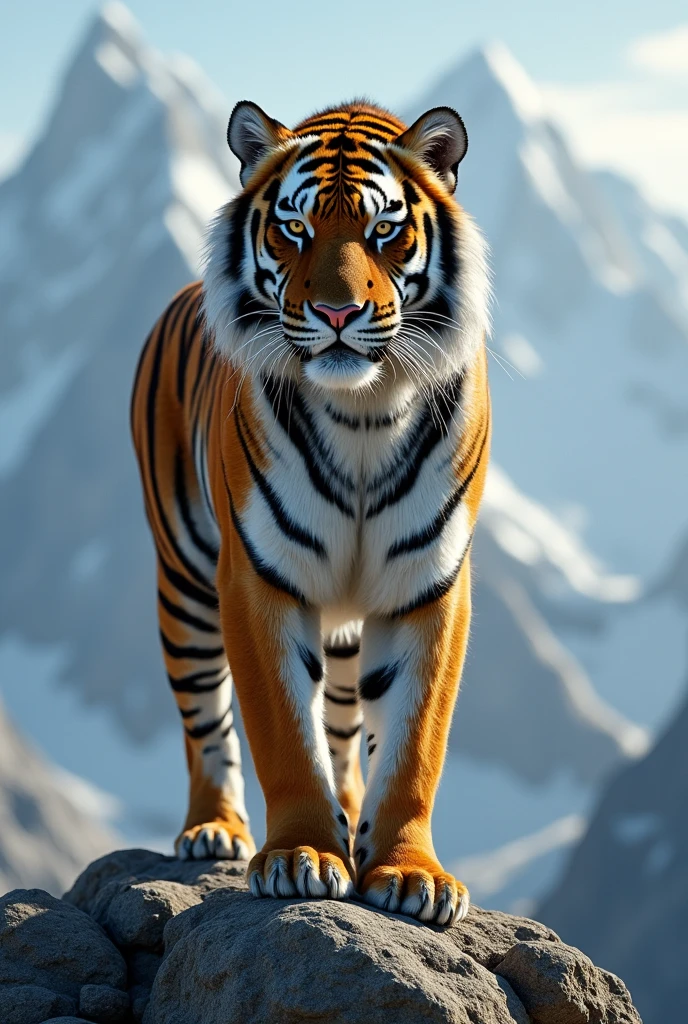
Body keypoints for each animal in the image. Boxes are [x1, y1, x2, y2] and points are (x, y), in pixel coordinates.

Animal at [130, 98, 491, 926]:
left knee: (349, 724)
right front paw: (300, 857)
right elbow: (282, 734)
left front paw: (410, 874)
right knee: (204, 718)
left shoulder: (430, 585)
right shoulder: (257, 577)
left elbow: (414, 742)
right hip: (184, 580)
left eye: (384, 229)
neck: (365, 411)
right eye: (294, 228)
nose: (335, 311)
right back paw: (213, 829)